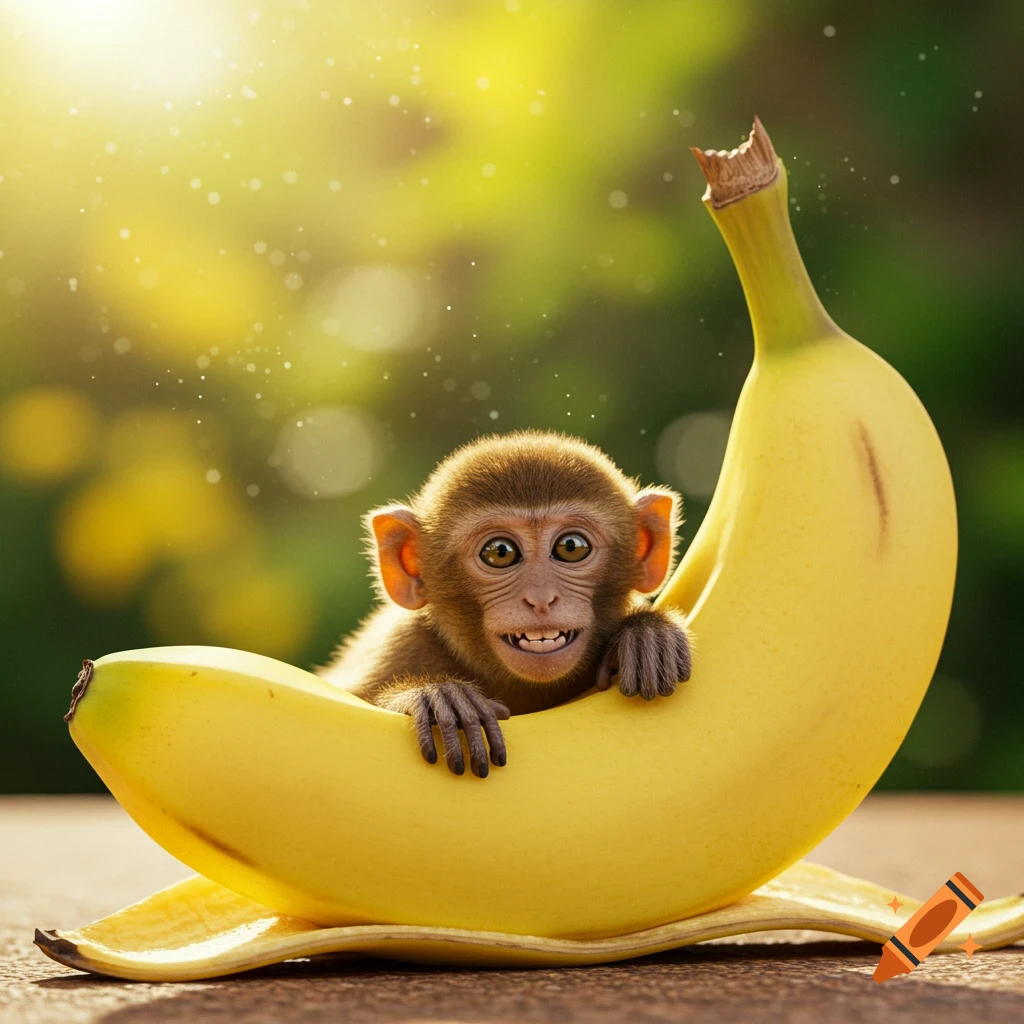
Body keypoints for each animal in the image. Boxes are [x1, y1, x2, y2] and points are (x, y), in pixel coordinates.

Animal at [319, 430, 693, 778]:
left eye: (571, 547)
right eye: (500, 552)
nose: (540, 598)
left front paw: (647, 634)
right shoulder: (399, 645)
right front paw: (437, 699)